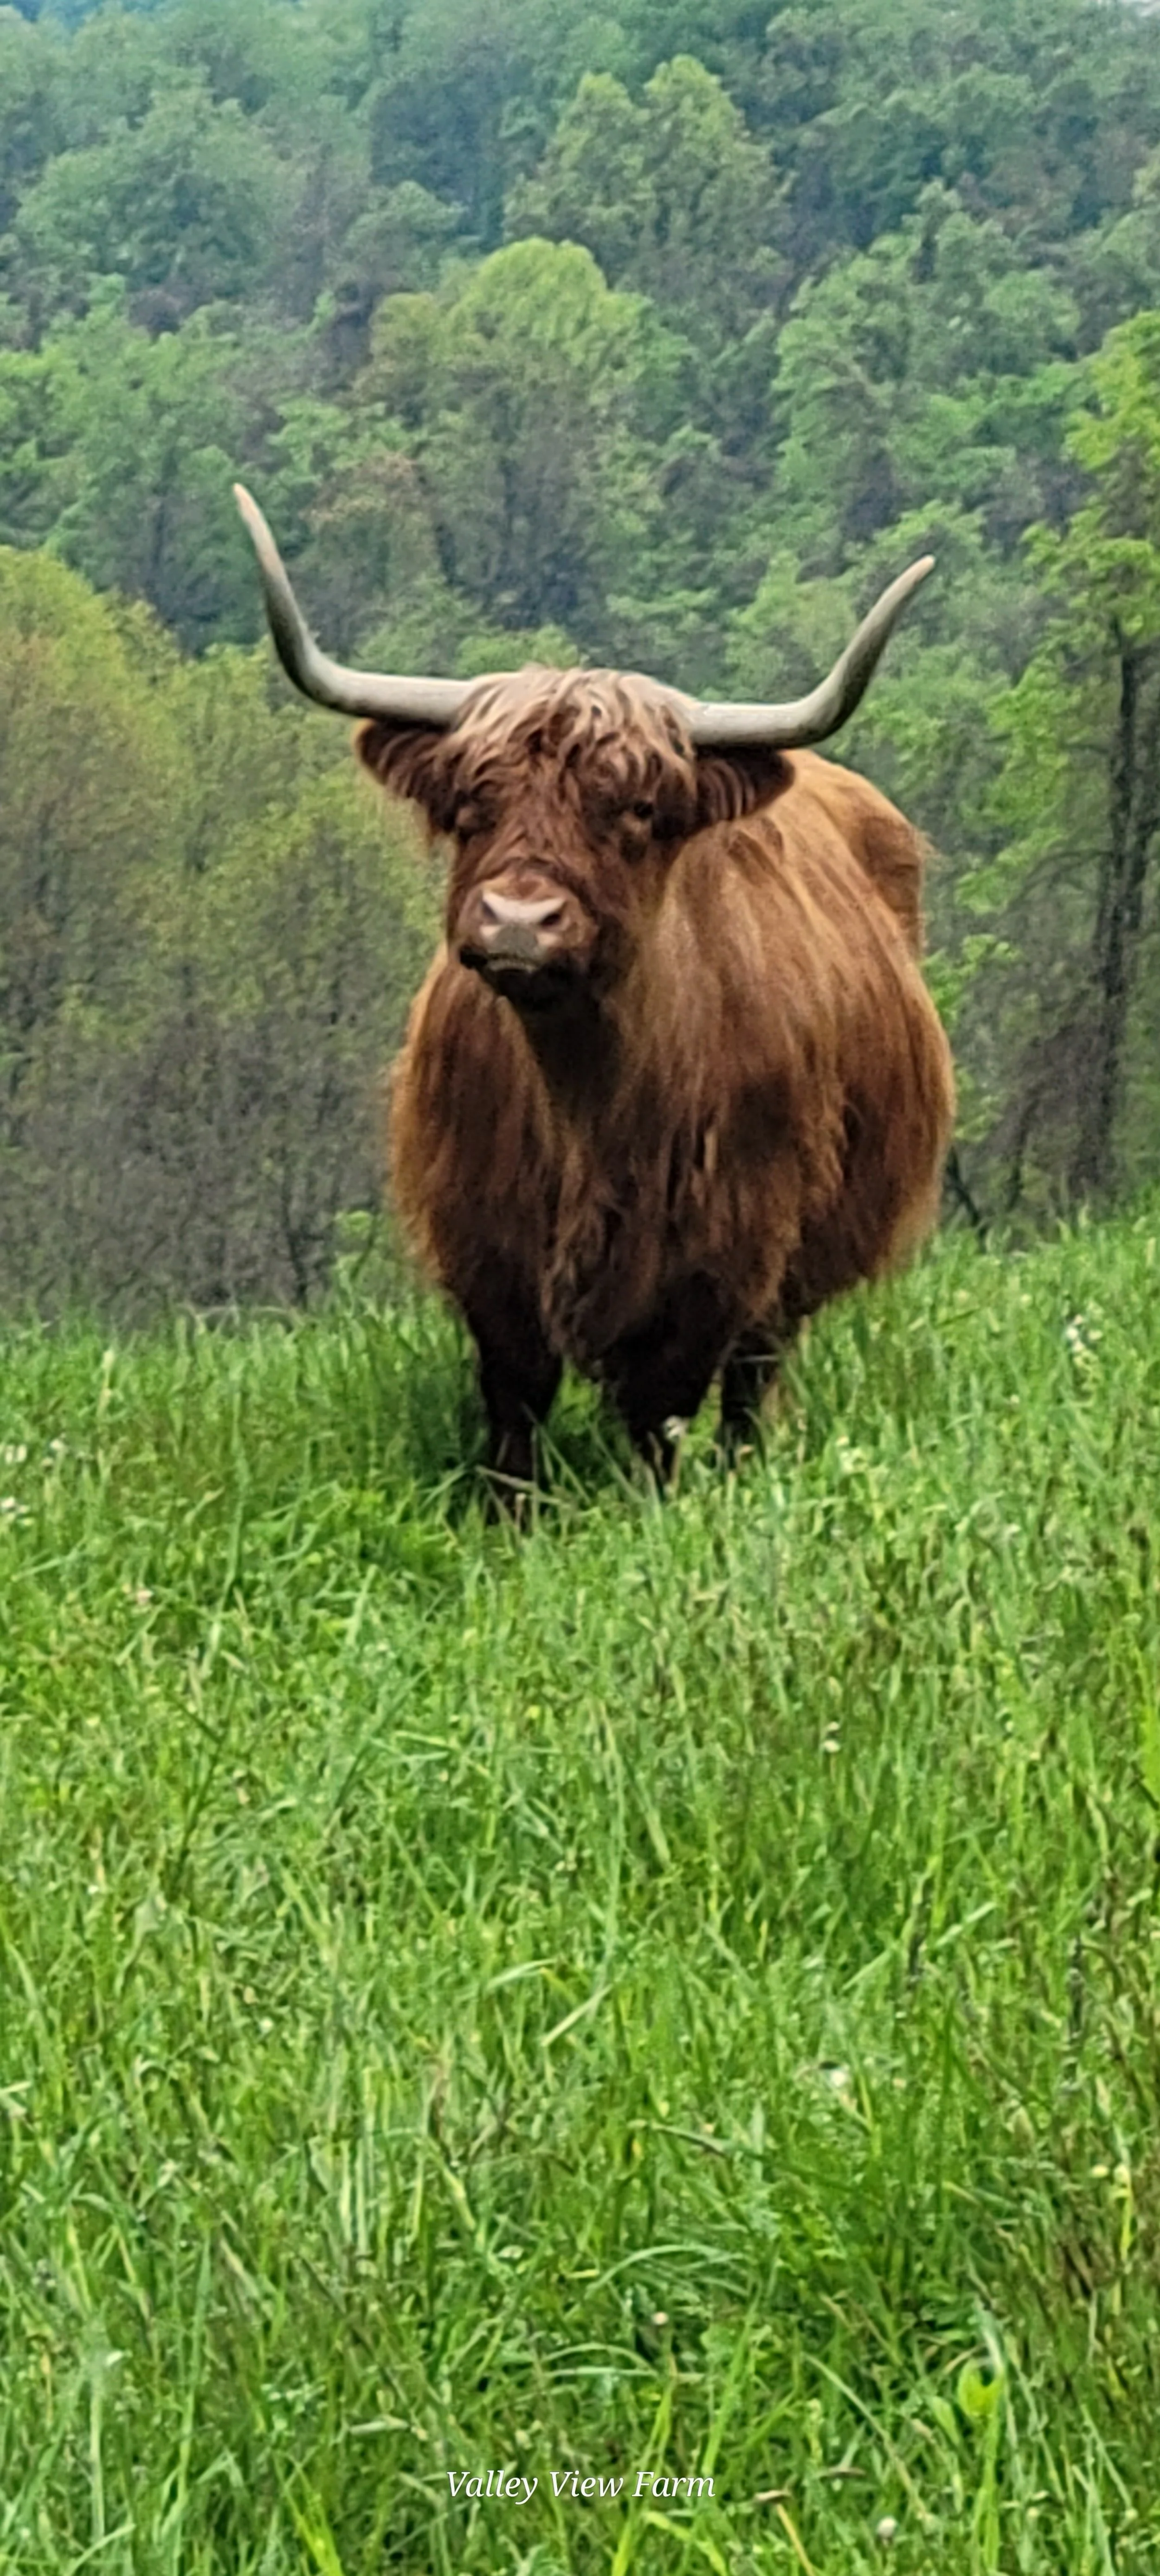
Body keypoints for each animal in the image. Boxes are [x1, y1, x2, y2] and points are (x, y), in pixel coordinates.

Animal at [235, 485, 954, 1492]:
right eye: (471, 804)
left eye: (638, 810)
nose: (517, 921)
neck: (585, 1102)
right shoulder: (485, 1243)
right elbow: (514, 1400)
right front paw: (511, 1509)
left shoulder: (725, 1249)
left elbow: (664, 1407)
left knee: (755, 1375)